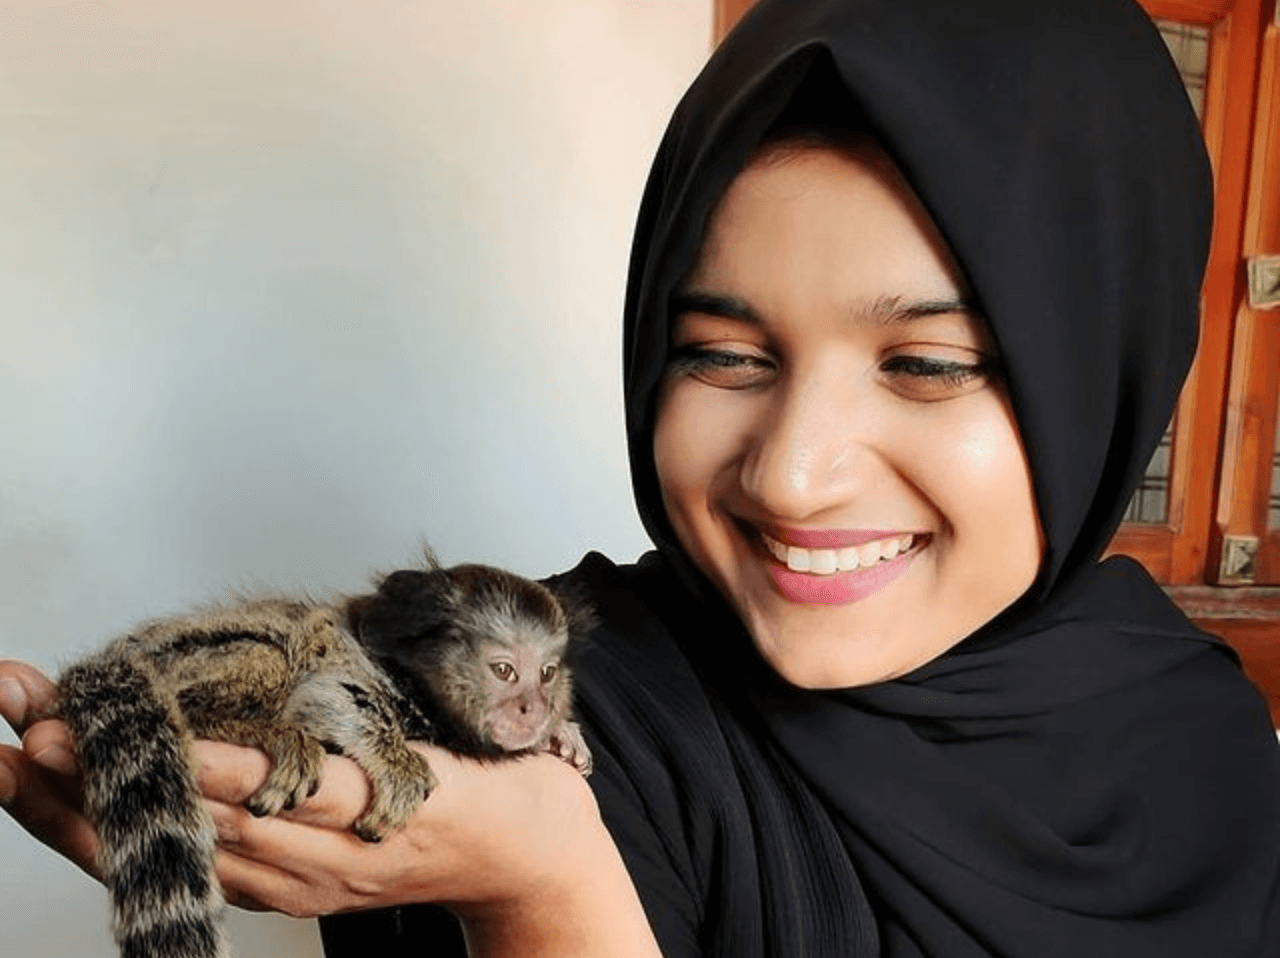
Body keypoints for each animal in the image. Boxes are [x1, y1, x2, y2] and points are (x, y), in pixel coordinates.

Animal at [50, 555, 594, 958]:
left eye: (547, 674)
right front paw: (398, 762)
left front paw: (560, 733)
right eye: (504, 671)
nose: (532, 709)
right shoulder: (355, 672)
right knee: (267, 652)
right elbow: (333, 697)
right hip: (192, 656)